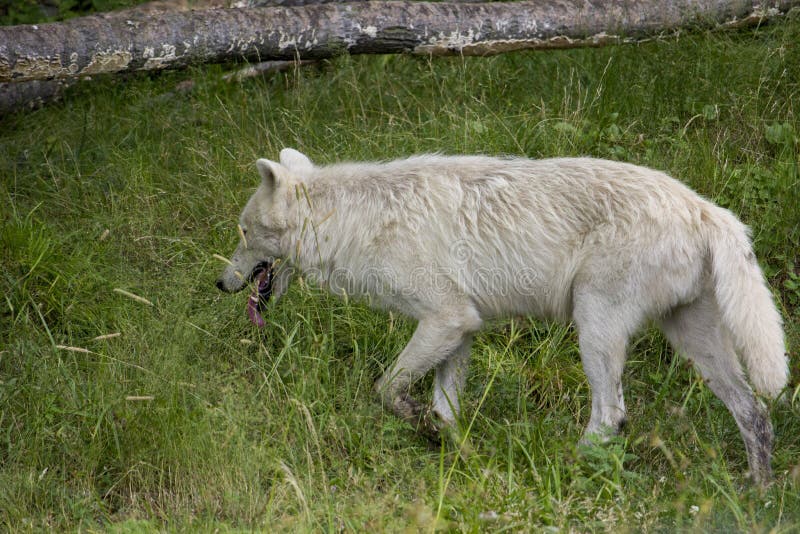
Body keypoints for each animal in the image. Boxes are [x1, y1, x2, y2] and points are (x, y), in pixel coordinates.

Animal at [216, 149, 787, 484]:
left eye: (243, 231)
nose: (221, 283)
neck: (359, 222)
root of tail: (707, 208)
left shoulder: (444, 320)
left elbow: (386, 390)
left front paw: (423, 427)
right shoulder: (461, 329)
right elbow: (445, 410)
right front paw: (451, 452)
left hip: (595, 329)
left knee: (611, 415)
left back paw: (564, 468)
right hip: (694, 344)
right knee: (755, 412)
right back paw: (757, 494)